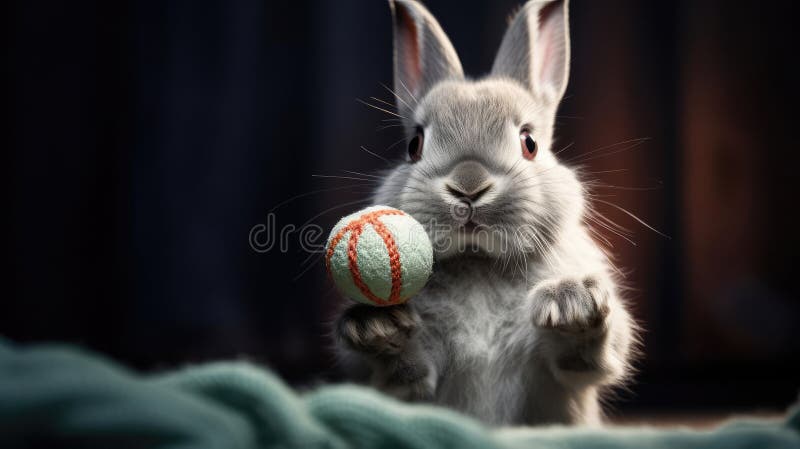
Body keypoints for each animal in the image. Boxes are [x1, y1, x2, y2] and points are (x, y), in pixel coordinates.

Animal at [333, 0, 637, 426]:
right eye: (414, 145)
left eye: (529, 143)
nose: (468, 185)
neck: (480, 264)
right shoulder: (412, 377)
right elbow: (404, 368)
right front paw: (376, 327)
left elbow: (585, 356)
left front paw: (571, 304)